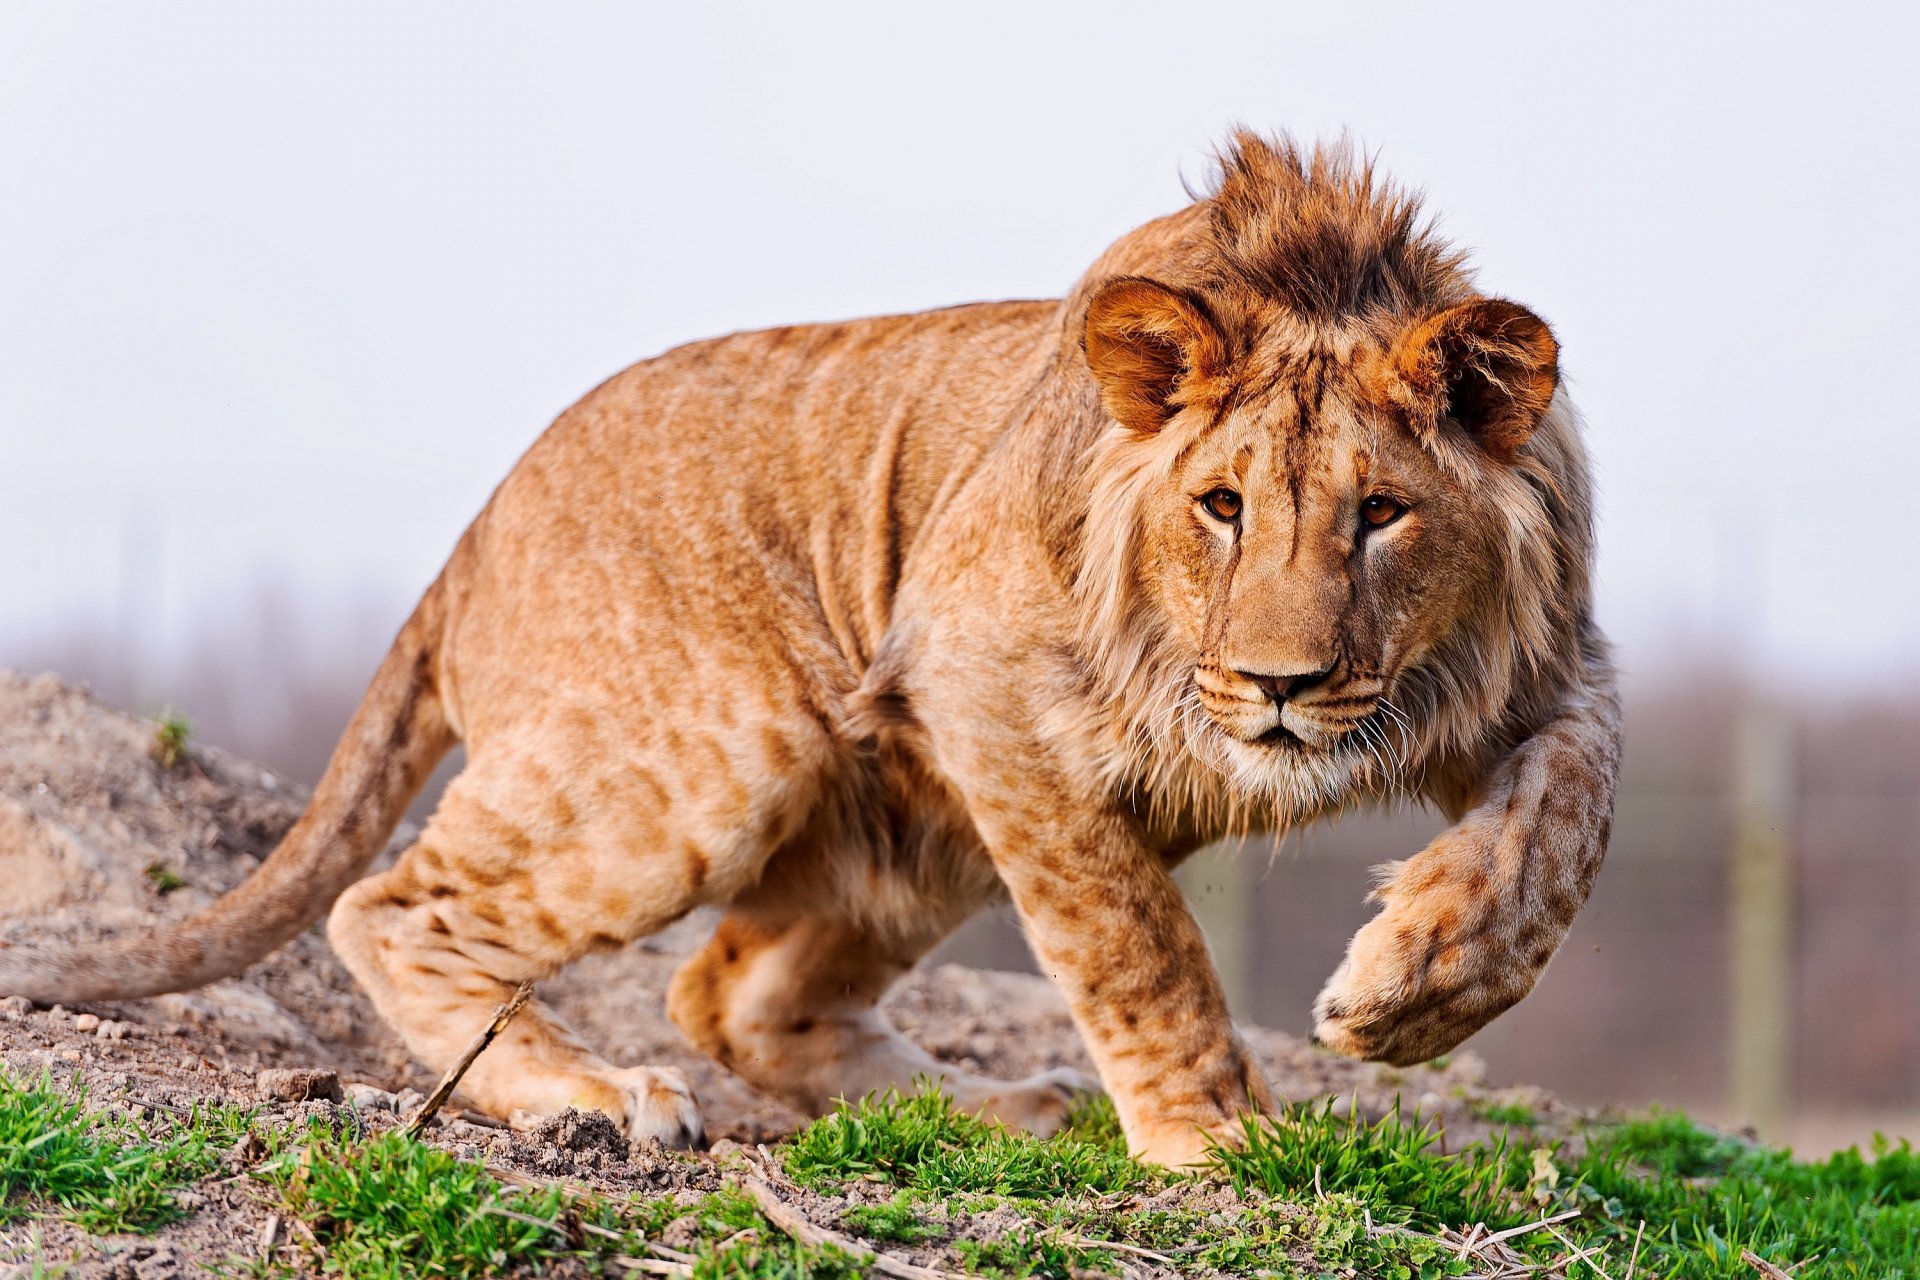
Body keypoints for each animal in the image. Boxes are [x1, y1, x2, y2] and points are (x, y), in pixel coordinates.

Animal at [1, 133, 1619, 1166]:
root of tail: (478, 528)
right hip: (728, 751)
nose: (1284, 687)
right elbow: (1137, 942)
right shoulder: (982, 675)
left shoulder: (1545, 668)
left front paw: (1411, 990)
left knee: (731, 994)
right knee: (397, 906)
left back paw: (997, 1109)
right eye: (1221, 507)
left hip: (915, 827)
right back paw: (594, 1095)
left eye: (1383, 514)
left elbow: (1566, 825)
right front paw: (1213, 1141)